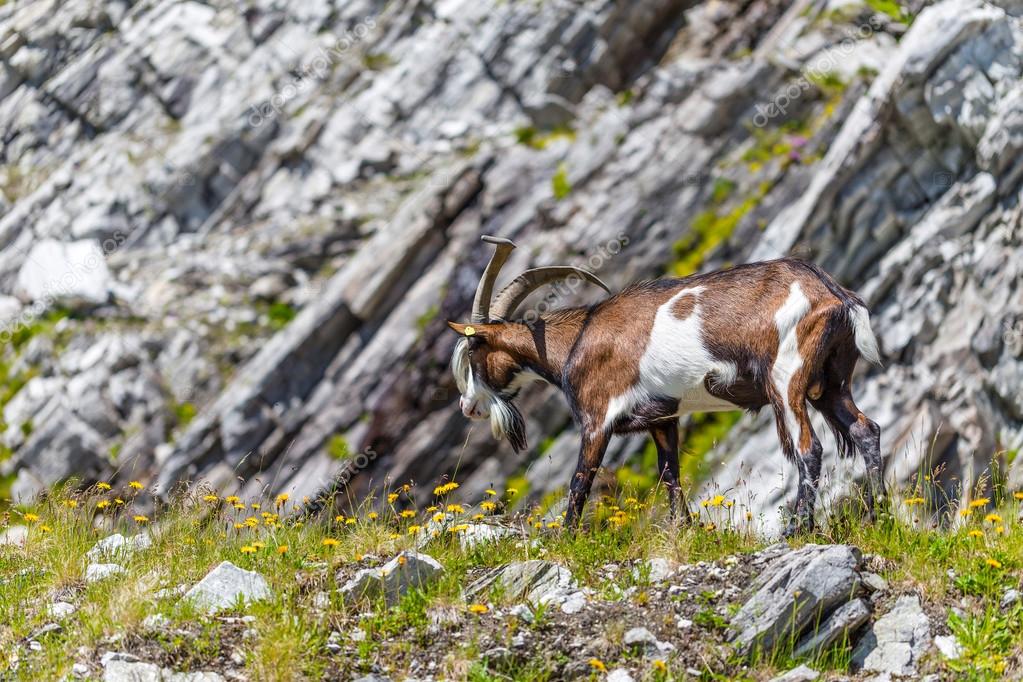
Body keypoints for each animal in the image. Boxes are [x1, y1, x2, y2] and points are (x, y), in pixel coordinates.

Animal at [448, 236, 884, 535]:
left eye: (473, 349)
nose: (467, 407)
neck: (576, 341)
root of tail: (833, 293)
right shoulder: (662, 419)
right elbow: (670, 476)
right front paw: (686, 530)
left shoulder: (596, 418)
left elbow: (580, 482)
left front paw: (564, 540)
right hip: (830, 384)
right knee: (866, 430)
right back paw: (880, 515)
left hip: (786, 377)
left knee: (809, 449)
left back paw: (798, 529)